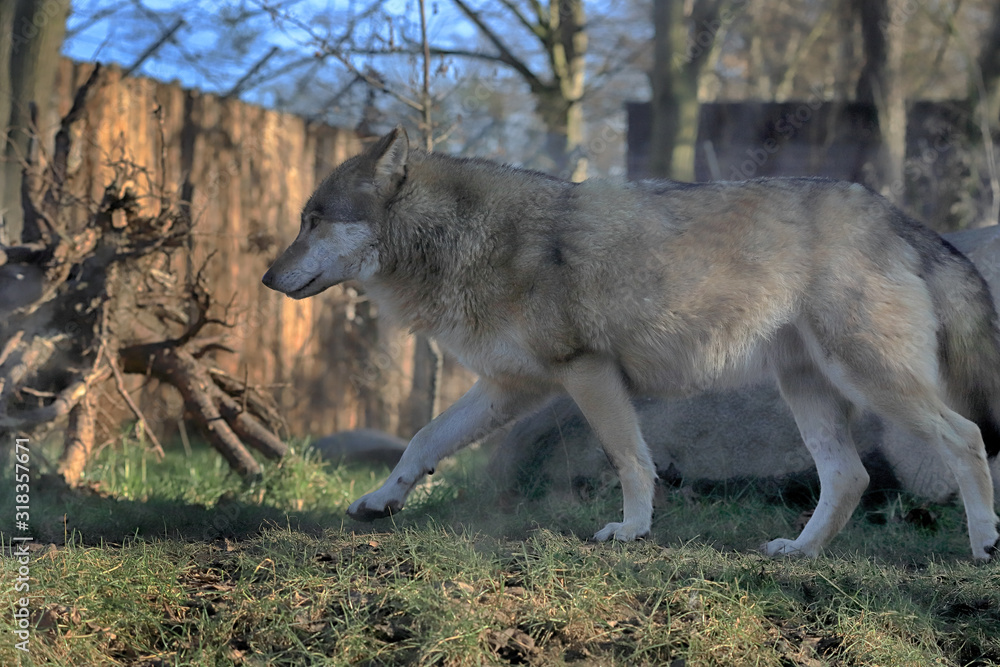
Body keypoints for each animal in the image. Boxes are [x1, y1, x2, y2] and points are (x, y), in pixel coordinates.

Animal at [263, 126, 1000, 560]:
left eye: (311, 220)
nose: (267, 278)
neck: (465, 240)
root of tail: (894, 212)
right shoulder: (509, 388)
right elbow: (421, 441)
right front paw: (378, 502)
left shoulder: (587, 374)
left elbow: (630, 462)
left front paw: (632, 530)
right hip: (809, 392)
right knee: (850, 477)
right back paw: (799, 551)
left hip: (874, 382)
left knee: (964, 438)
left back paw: (984, 542)